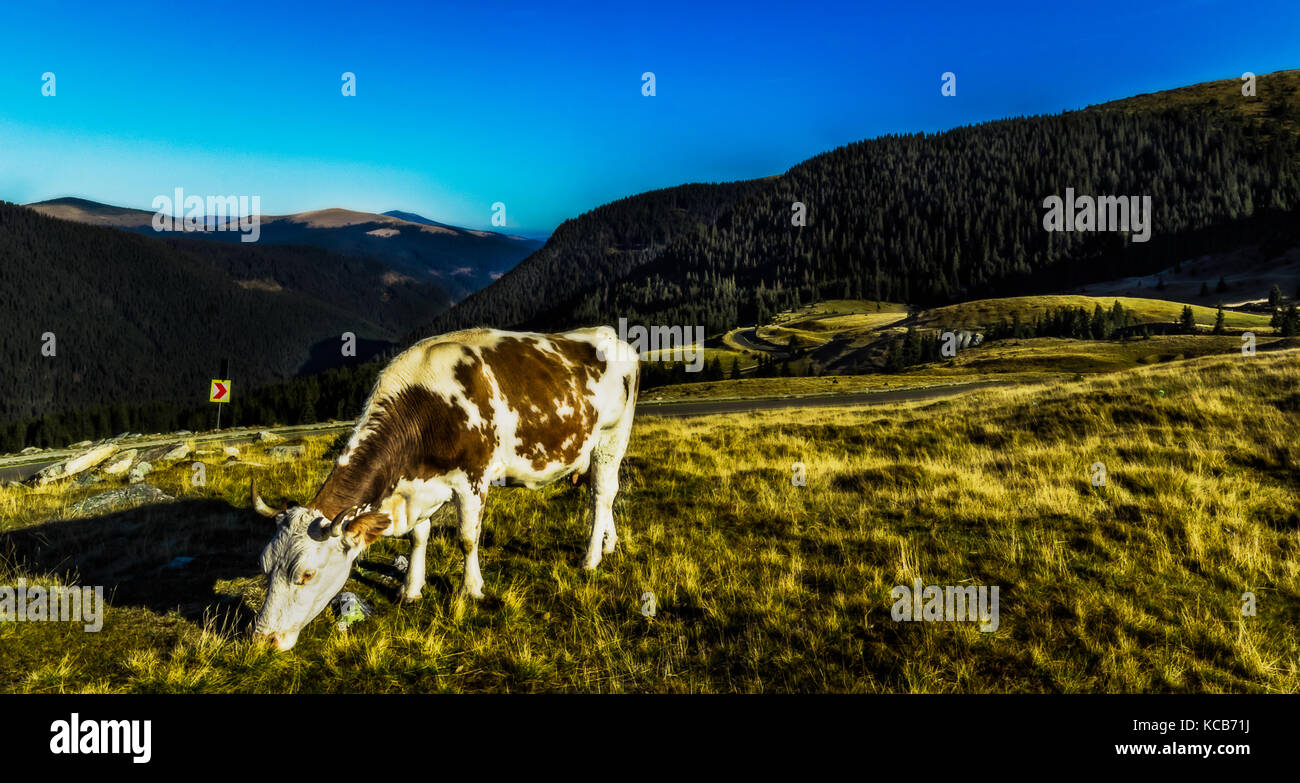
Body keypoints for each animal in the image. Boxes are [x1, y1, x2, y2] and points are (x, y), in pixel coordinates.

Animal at [249, 326, 639, 651]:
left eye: (307, 574)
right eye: (264, 567)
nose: (263, 639)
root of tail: (608, 334)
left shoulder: (473, 478)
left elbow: (467, 538)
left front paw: (472, 589)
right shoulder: (420, 487)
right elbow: (418, 537)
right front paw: (411, 590)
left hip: (612, 437)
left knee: (603, 494)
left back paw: (590, 558)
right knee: (600, 495)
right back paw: (609, 543)